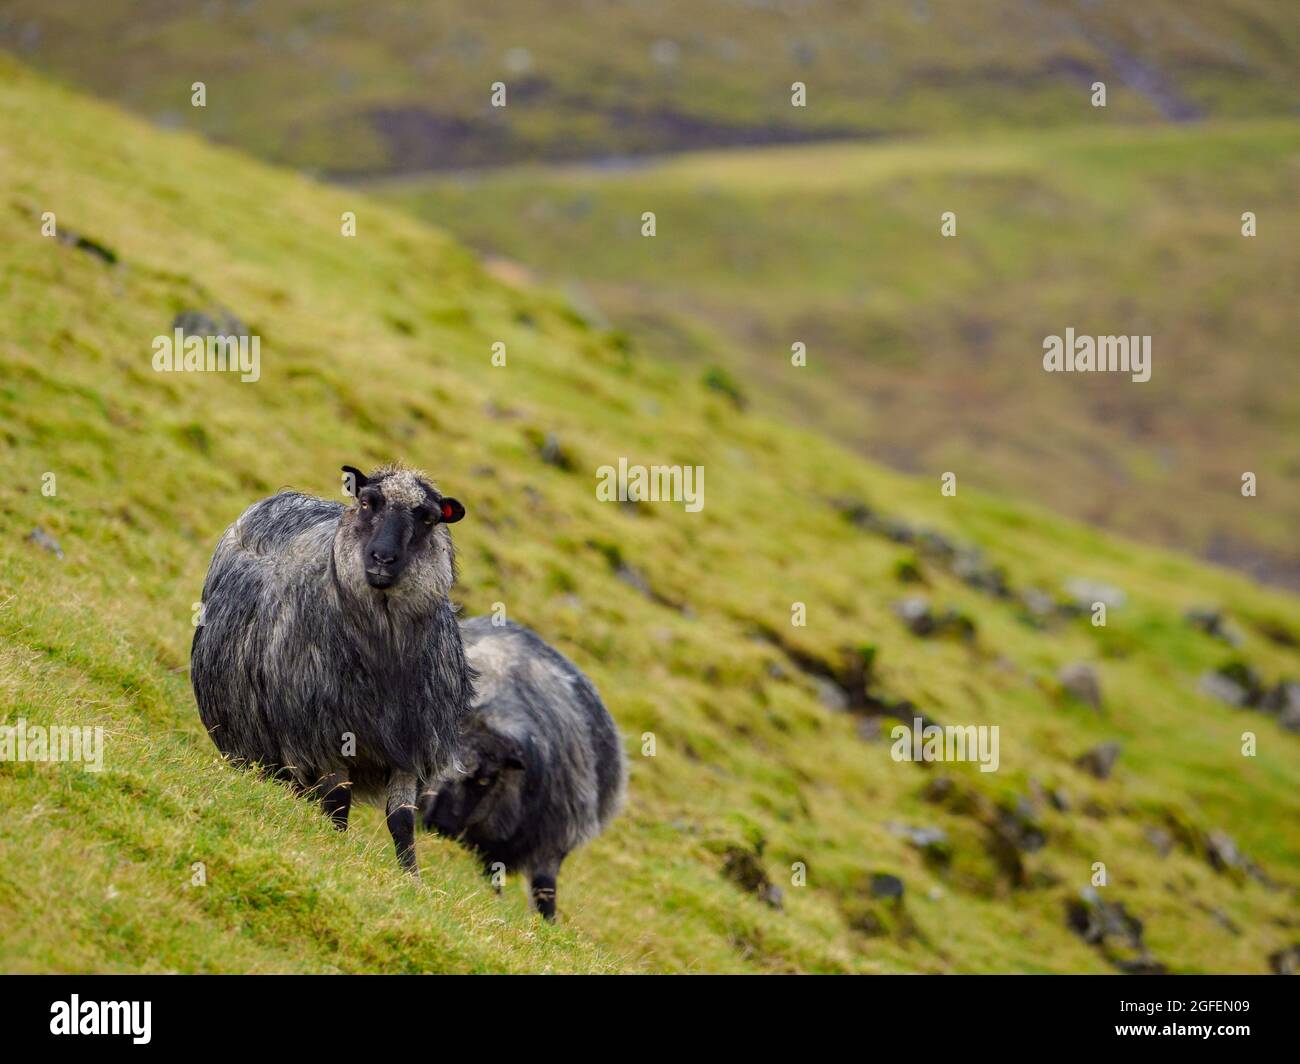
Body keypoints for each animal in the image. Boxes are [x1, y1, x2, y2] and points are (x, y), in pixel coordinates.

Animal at [191, 463, 472, 874]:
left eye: (428, 518)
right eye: (368, 502)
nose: (382, 559)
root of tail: (287, 497)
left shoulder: (412, 741)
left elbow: (401, 819)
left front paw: (411, 877)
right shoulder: (321, 735)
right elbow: (338, 801)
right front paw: (335, 847)